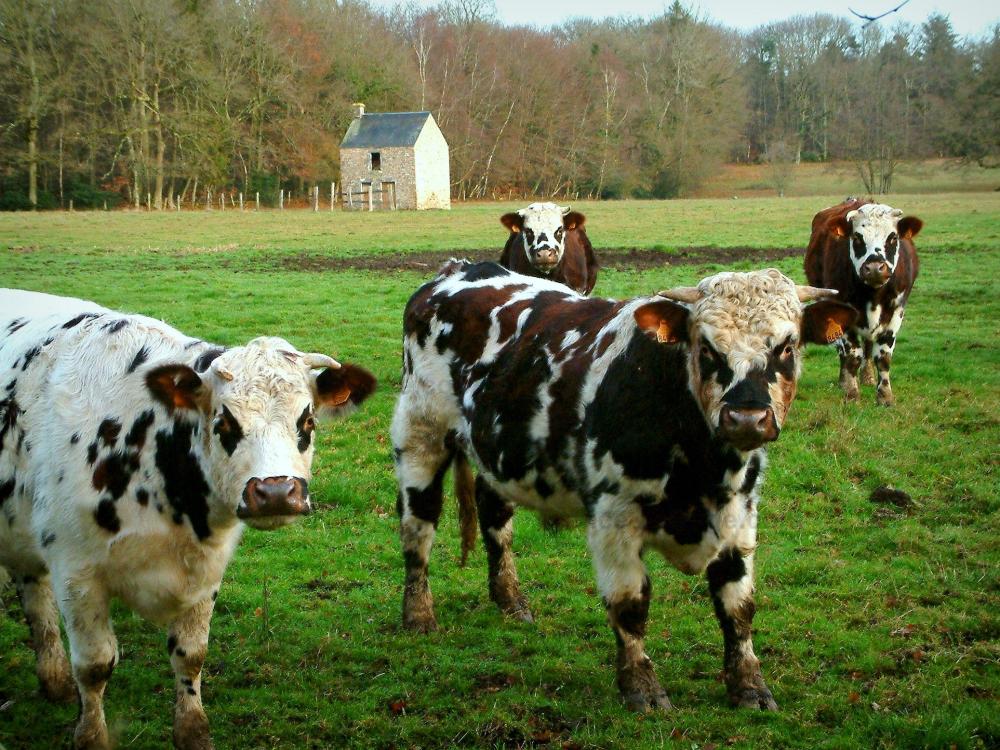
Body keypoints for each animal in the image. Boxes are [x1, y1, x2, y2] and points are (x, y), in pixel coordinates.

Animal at [0, 289, 376, 750]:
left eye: (307, 420)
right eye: (224, 421)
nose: (274, 492)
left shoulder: (205, 570)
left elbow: (191, 655)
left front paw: (193, 730)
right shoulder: (76, 573)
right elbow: (94, 665)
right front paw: (91, 736)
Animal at [392, 262, 856, 712]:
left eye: (787, 346)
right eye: (706, 348)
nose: (746, 418)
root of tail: (455, 273)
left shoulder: (740, 518)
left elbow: (738, 608)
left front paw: (749, 686)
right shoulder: (614, 520)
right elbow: (630, 606)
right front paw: (642, 687)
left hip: (496, 455)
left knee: (495, 518)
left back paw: (510, 600)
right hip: (420, 438)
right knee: (419, 528)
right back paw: (418, 615)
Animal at [804, 199, 922, 406]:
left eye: (893, 237)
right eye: (857, 237)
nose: (875, 268)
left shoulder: (896, 312)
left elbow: (883, 356)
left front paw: (885, 396)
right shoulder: (841, 311)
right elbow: (852, 355)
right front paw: (851, 393)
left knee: (867, 346)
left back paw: (867, 377)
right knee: (844, 351)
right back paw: (844, 381)